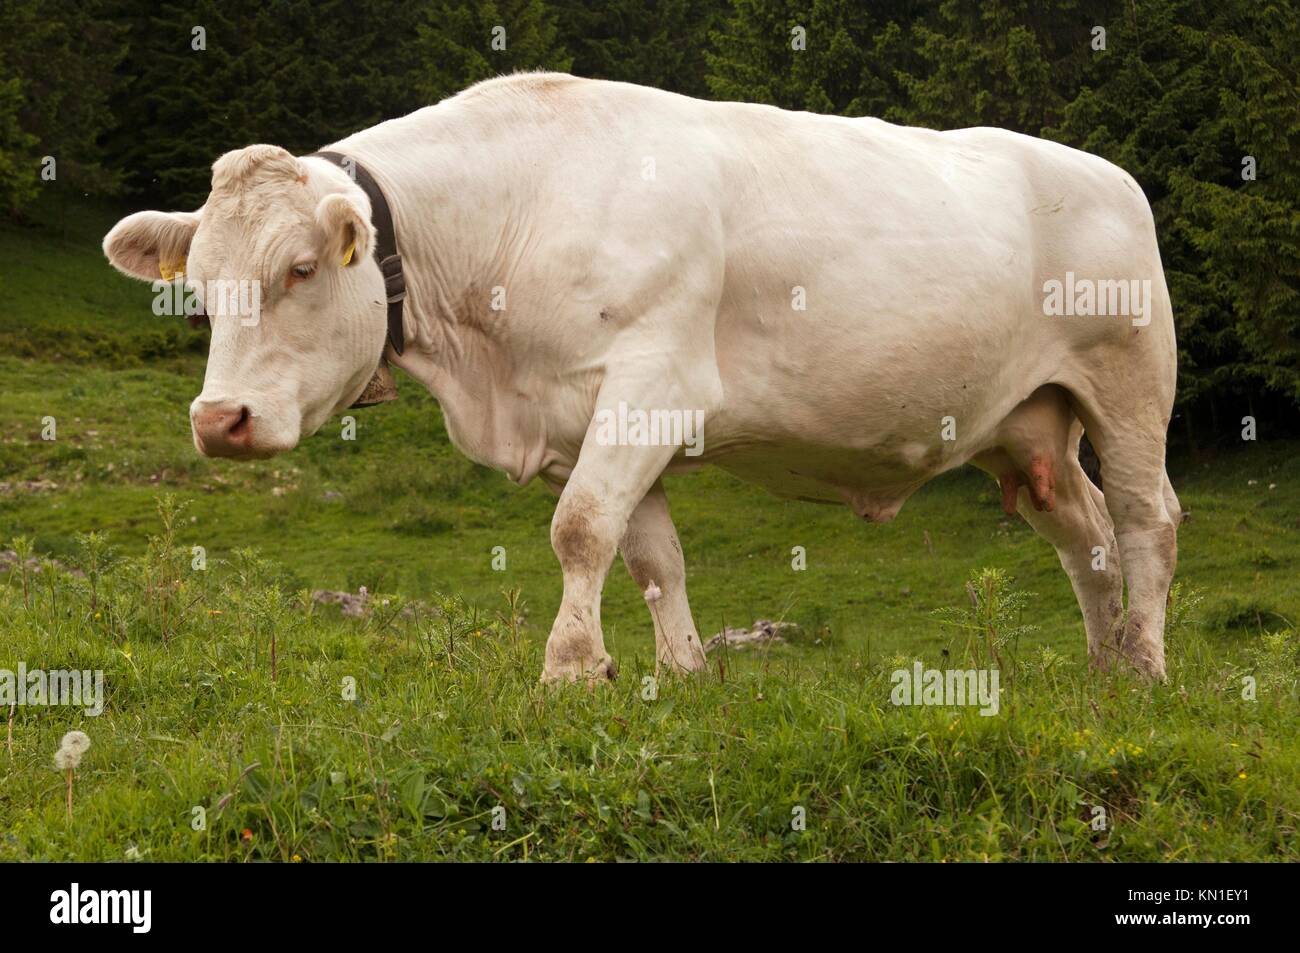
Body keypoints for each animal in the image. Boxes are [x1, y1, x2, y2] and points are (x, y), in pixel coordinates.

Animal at [103, 73, 1181, 683]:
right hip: (1027, 423)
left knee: (1143, 519)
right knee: (1080, 531)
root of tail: (1107, 170)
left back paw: (1150, 667)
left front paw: (571, 670)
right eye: (200, 289)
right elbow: (649, 554)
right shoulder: (586, 418)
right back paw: (1104, 666)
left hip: (1128, 379)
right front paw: (682, 671)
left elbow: (579, 529)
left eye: (298, 269)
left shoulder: (654, 381)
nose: (220, 419)